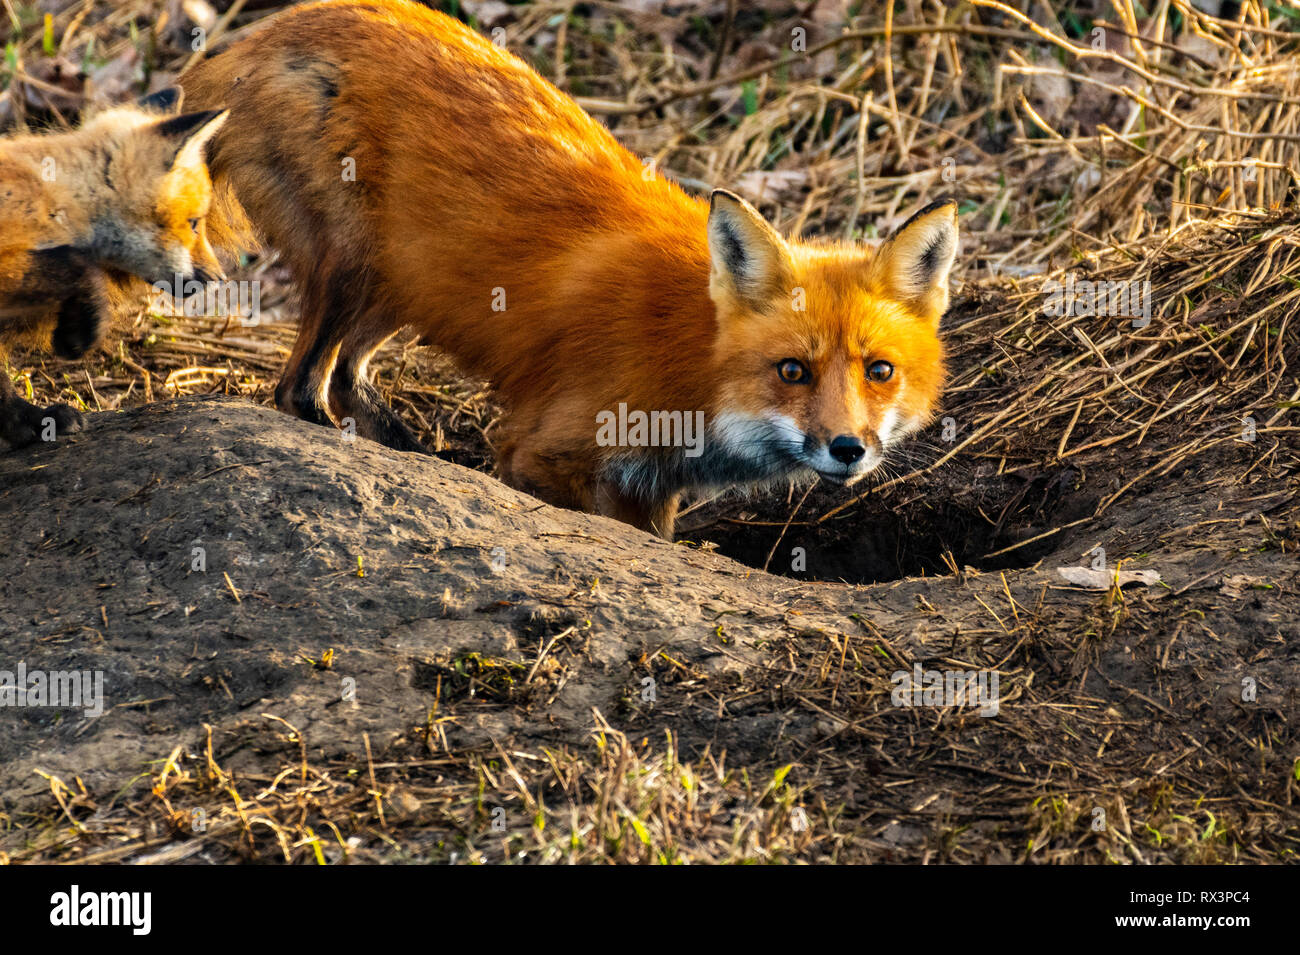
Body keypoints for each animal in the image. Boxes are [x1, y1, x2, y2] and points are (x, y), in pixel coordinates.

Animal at [0, 89, 228, 447]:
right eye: (194, 223)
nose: (220, 277)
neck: (61, 202)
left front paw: (28, 422)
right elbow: (77, 264)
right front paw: (77, 335)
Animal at [179, 0, 956, 539]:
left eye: (879, 370)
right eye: (792, 370)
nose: (847, 449)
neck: (693, 357)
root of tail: (265, 31)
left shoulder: (654, 485)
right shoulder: (541, 452)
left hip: (401, 284)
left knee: (344, 375)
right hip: (355, 267)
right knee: (299, 387)